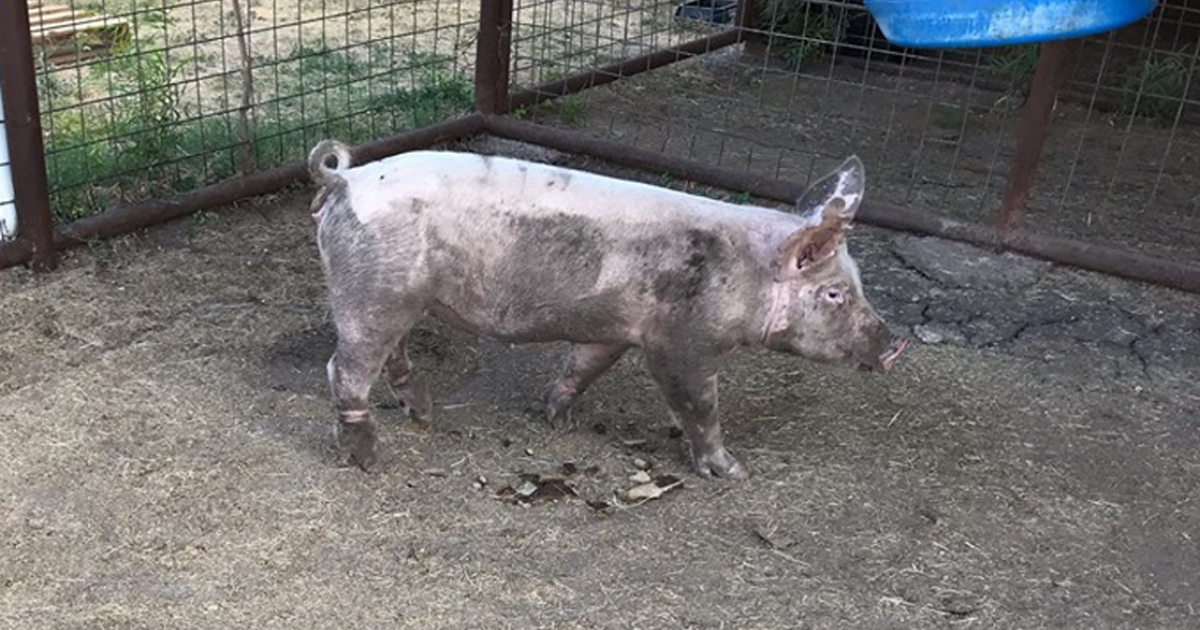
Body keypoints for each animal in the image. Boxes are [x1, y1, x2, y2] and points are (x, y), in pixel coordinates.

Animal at [306, 139, 906, 479]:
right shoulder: (680, 343)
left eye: (858, 283)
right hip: (374, 294)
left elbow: (583, 367)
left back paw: (425, 414)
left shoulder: (615, 330)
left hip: (397, 296)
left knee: (392, 356)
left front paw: (560, 419)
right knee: (344, 368)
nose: (895, 345)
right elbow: (698, 406)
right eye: (834, 294)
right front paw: (732, 471)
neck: (747, 271)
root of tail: (345, 178)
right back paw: (369, 460)